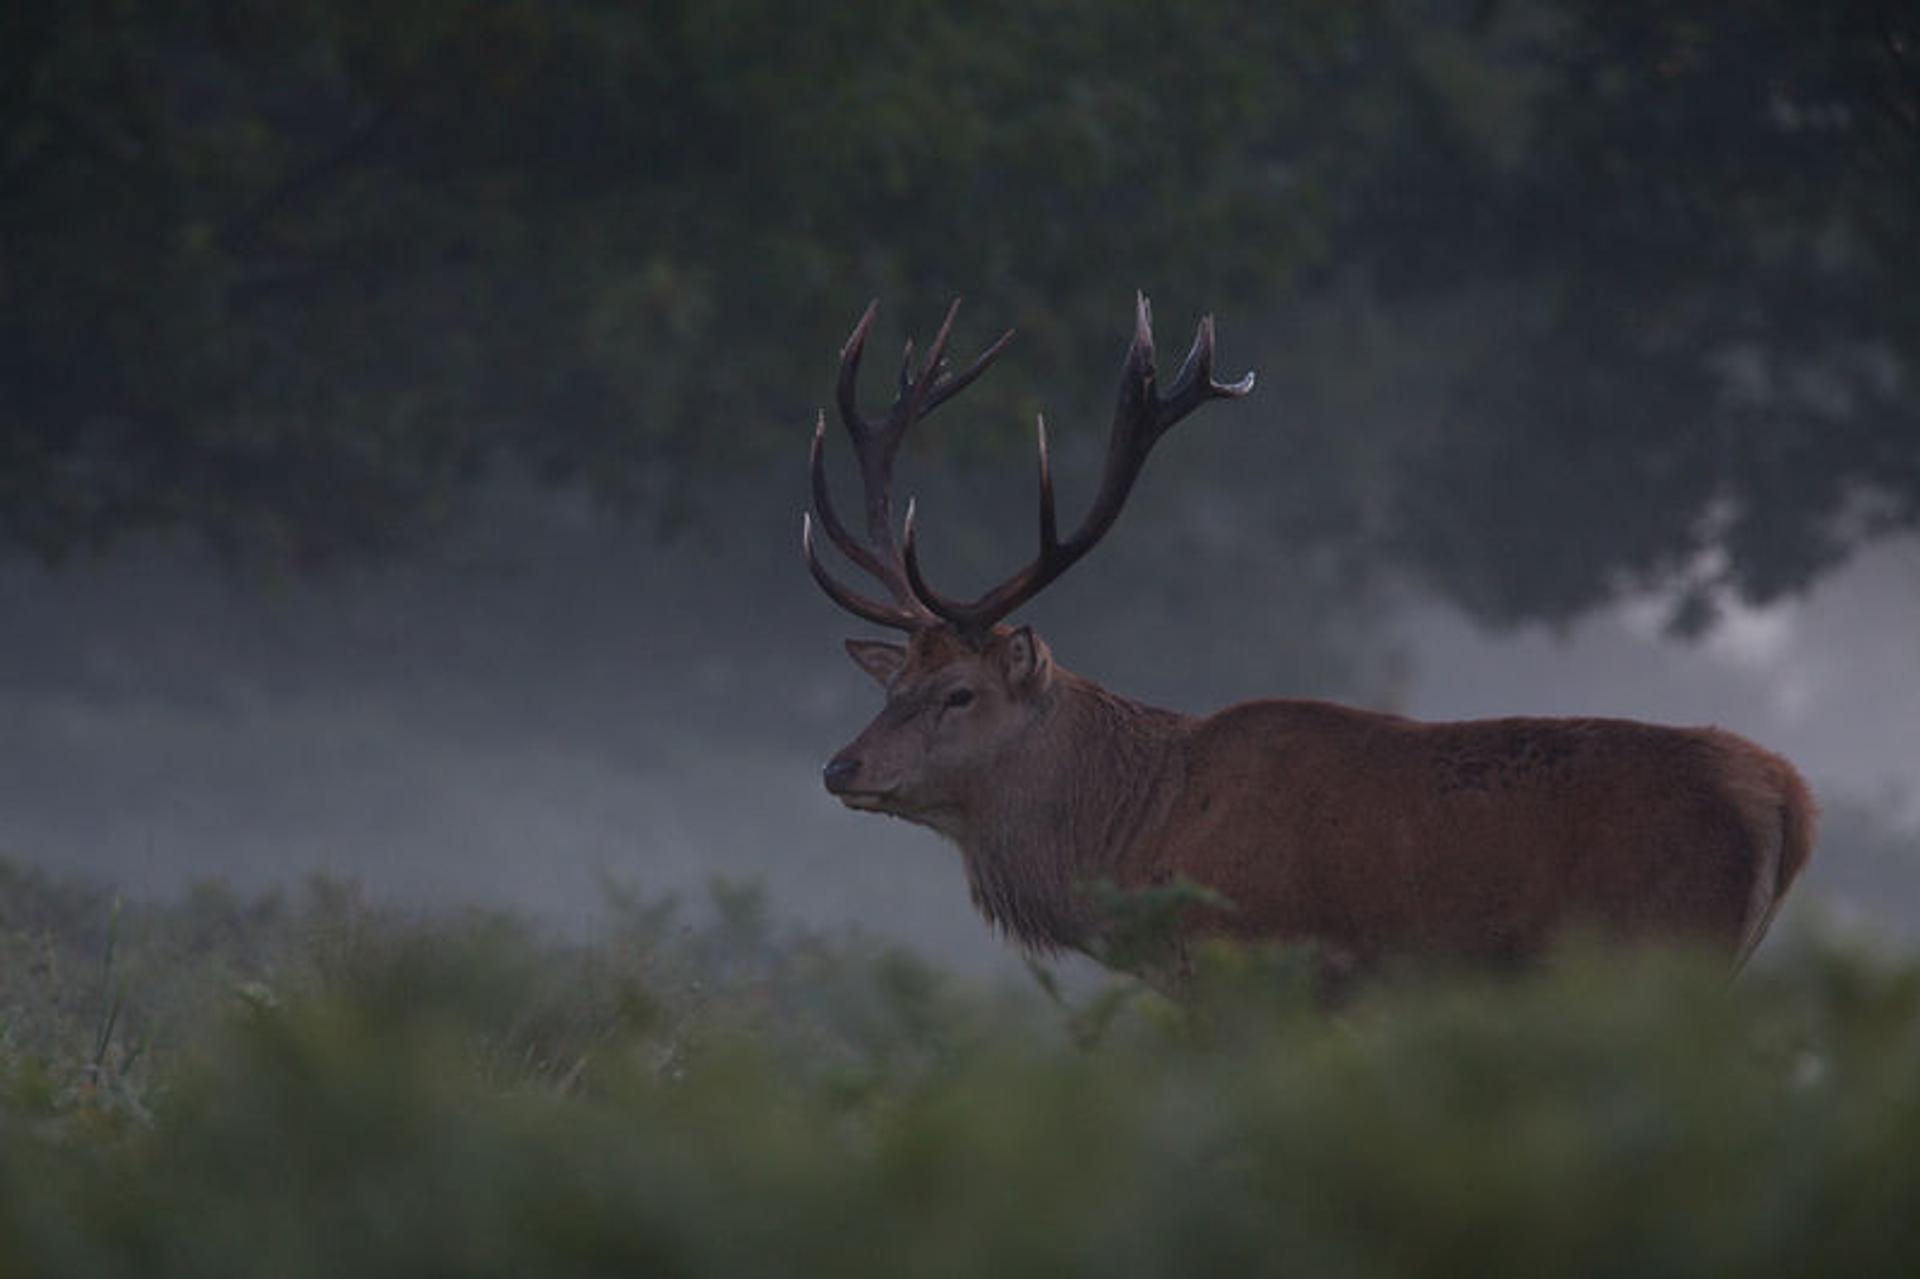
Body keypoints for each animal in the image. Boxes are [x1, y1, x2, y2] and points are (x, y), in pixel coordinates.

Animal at [802, 295, 1816, 989]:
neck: (1142, 833)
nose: (840, 767)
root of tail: (1787, 799)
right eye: (890, 686)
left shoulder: (1258, 966)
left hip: (1658, 945)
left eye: (960, 692)